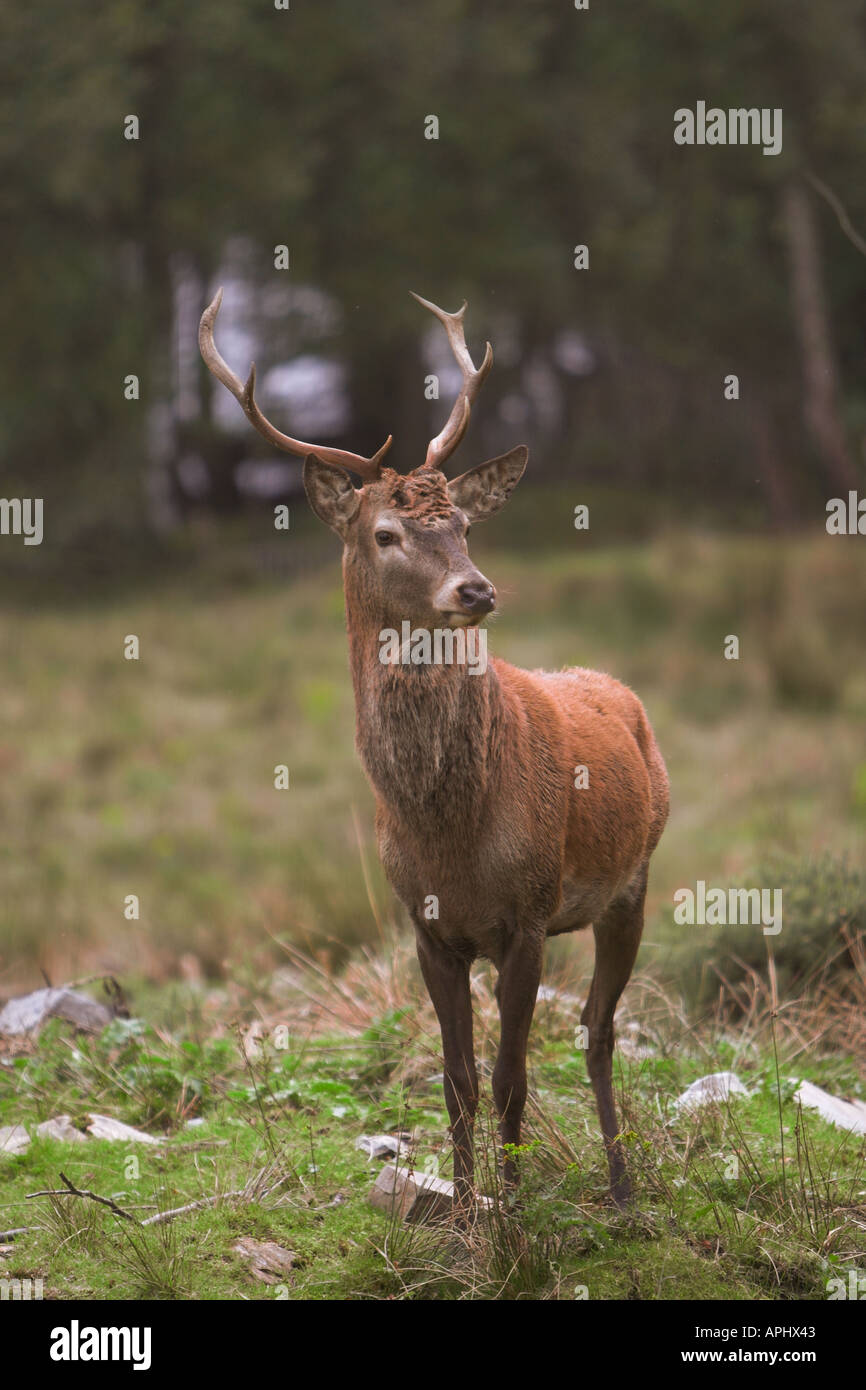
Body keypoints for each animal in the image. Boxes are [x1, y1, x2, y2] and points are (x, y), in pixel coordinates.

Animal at [199, 288, 670, 1213]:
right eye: (385, 533)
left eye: (461, 525)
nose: (476, 589)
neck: (452, 831)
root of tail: (616, 690)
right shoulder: (426, 927)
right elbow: (455, 1080)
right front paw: (461, 1209)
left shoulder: (529, 912)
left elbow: (513, 1075)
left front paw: (514, 1212)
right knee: (591, 1030)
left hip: (635, 877)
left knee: (599, 1032)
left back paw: (622, 1184)